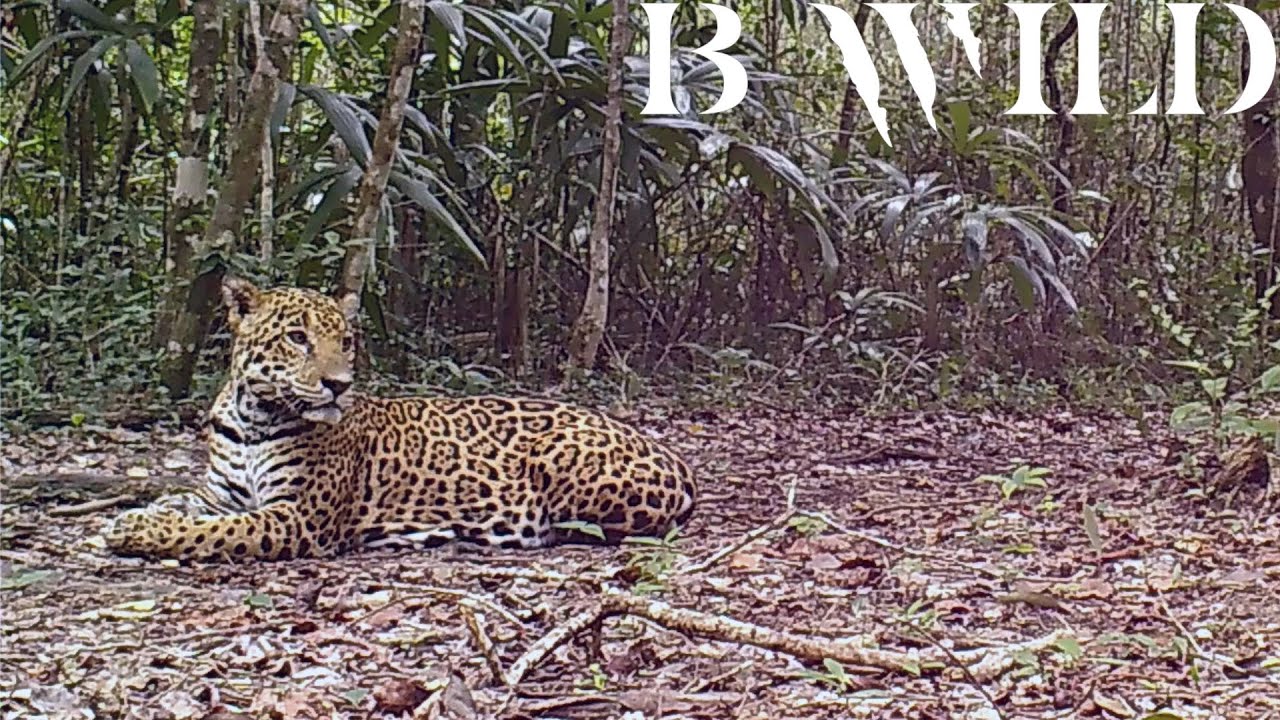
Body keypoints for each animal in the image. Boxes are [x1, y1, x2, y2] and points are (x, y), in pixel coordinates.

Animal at [105, 277, 697, 562]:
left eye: (345, 341)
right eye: (297, 338)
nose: (339, 384)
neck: (255, 417)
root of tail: (674, 456)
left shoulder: (297, 517)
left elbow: (213, 533)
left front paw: (138, 531)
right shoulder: (220, 494)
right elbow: (182, 505)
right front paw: (136, 516)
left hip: (561, 460)